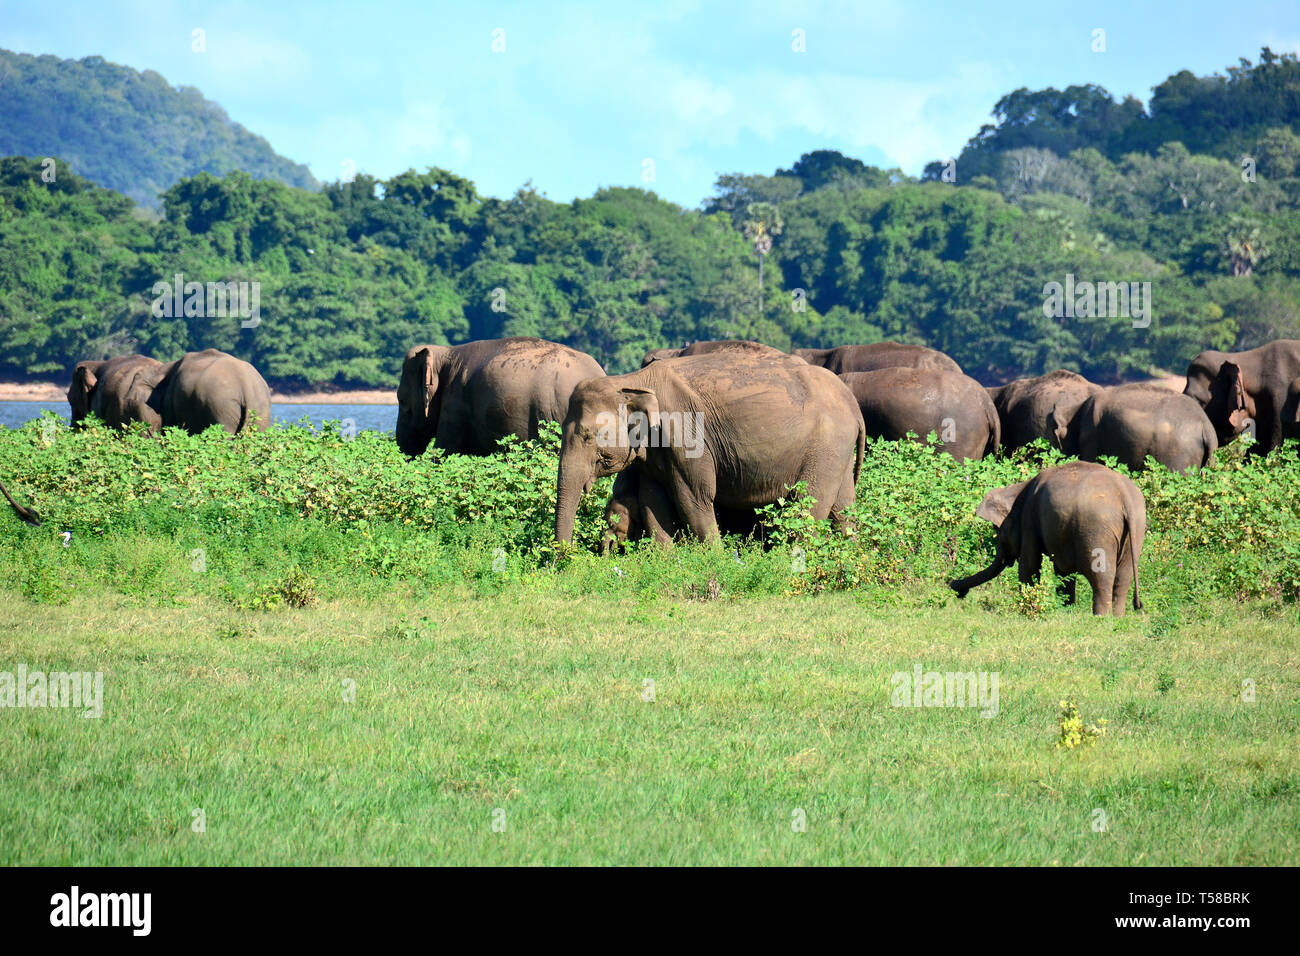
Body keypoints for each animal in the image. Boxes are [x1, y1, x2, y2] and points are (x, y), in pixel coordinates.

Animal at [555, 352, 865, 544]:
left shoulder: (686, 435)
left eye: (587, 436)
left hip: (826, 445)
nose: (563, 563)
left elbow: (696, 496)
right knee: (842, 508)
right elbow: (653, 500)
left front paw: (713, 561)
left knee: (808, 505)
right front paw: (666, 562)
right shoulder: (654, 452)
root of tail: (853, 404)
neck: (631, 382)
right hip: (836, 451)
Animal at [949, 462, 1145, 616]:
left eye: (997, 530)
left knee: (1102, 576)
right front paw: (1067, 610)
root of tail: (1125, 495)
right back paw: (1117, 617)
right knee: (1124, 577)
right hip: (1136, 531)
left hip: (1097, 529)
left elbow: (1029, 565)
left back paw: (1100, 618)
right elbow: (1062, 572)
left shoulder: (1029, 519)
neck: (1019, 488)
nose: (956, 588)